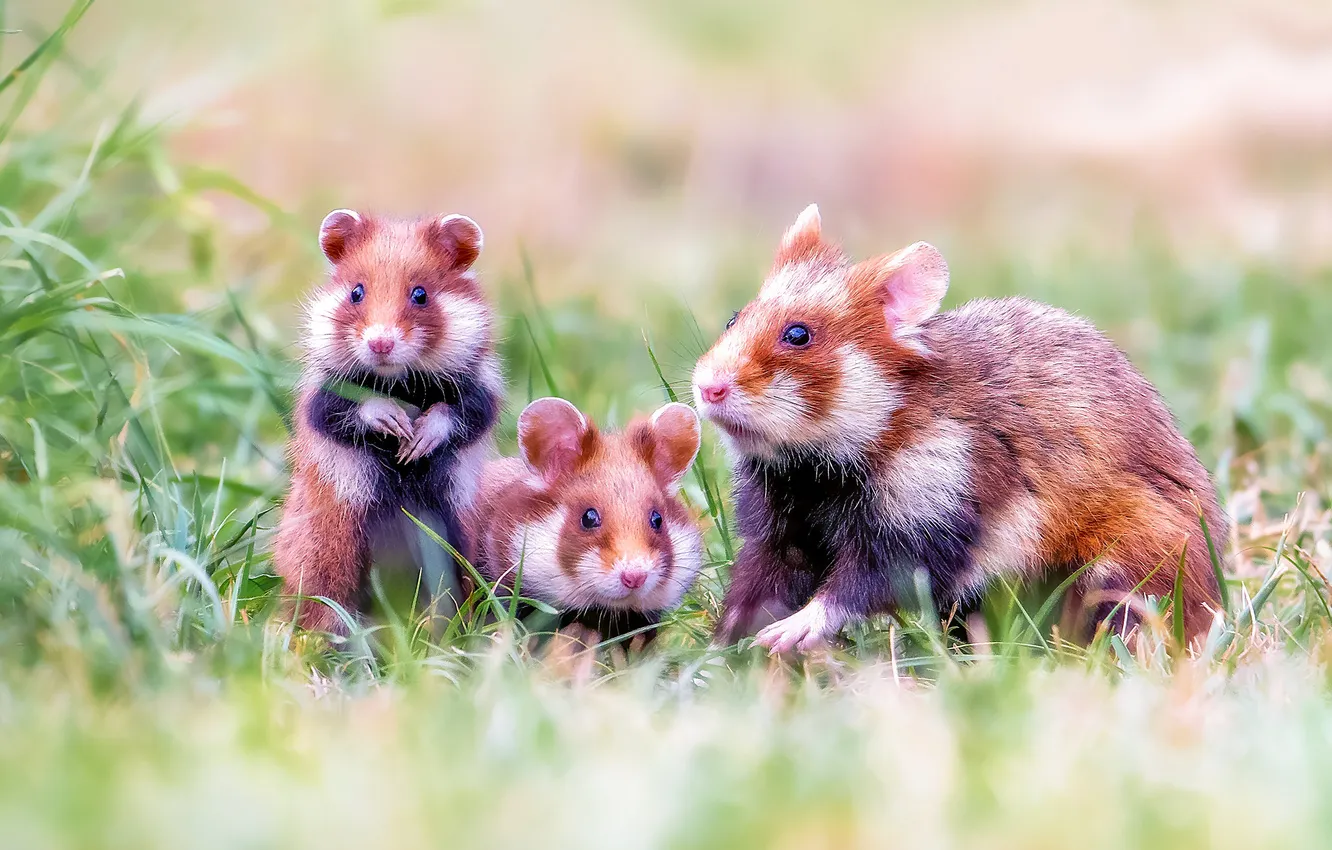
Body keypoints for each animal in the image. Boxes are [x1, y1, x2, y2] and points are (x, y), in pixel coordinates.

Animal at [272, 209, 503, 634]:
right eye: (356, 292)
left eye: (421, 294)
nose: (381, 344)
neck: (399, 381)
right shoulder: (320, 399)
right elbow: (353, 408)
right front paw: (395, 423)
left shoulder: (482, 393)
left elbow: (454, 414)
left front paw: (414, 443)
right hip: (331, 552)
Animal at [692, 204, 1225, 652]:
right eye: (734, 318)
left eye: (798, 334)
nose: (706, 388)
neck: (817, 467)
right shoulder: (777, 534)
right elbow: (753, 591)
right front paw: (722, 650)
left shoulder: (926, 517)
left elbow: (852, 589)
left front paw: (788, 633)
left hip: (1124, 565)